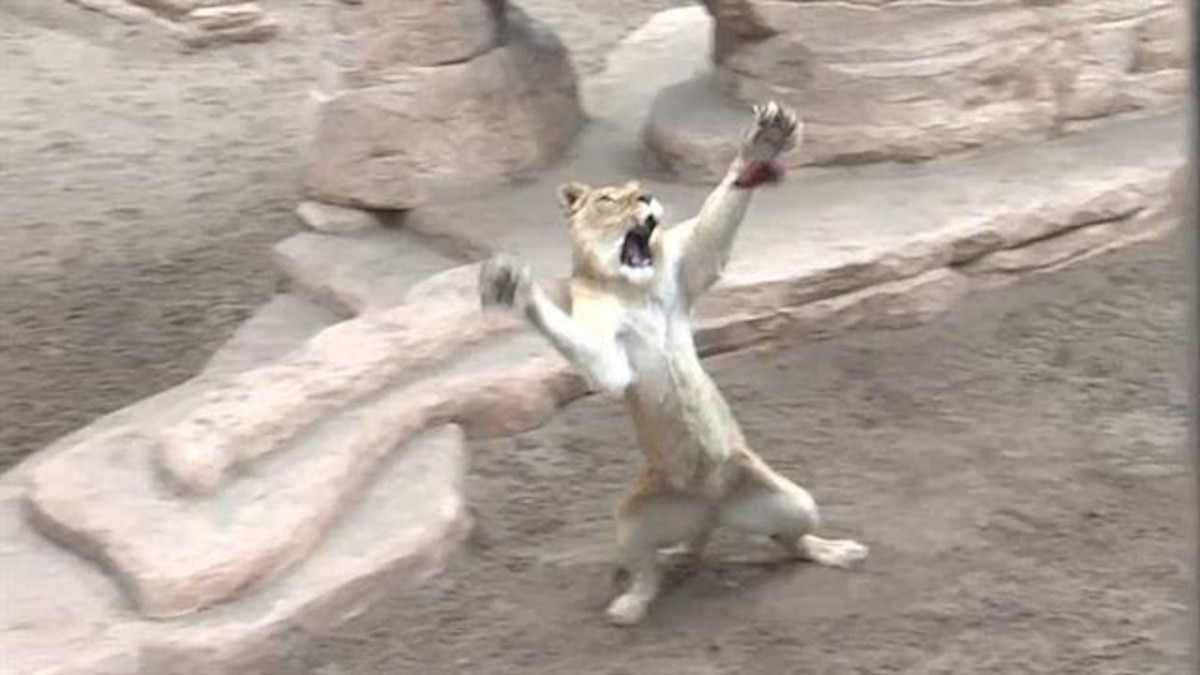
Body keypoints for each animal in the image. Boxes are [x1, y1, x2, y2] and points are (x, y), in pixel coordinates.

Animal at [479, 101, 868, 626]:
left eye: (639, 187)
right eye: (608, 198)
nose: (647, 197)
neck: (633, 287)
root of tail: (711, 512)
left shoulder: (692, 266)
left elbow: (715, 219)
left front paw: (764, 141)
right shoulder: (607, 356)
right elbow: (597, 359)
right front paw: (512, 286)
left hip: (796, 500)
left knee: (795, 540)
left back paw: (839, 552)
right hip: (631, 520)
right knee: (648, 568)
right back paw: (631, 603)